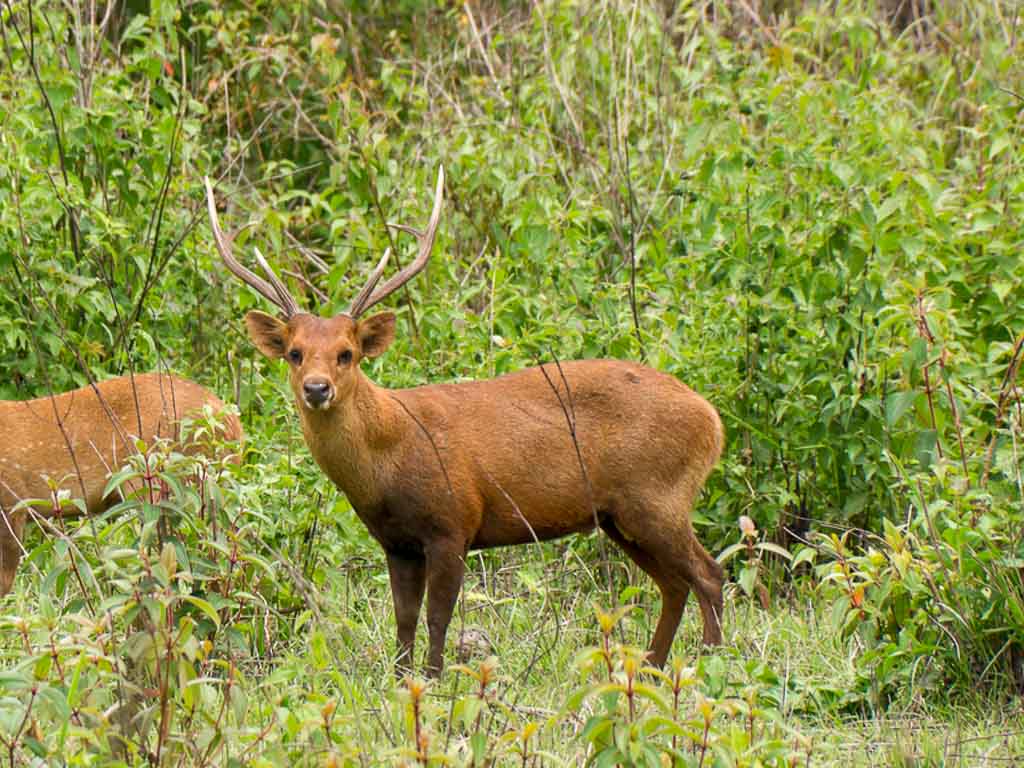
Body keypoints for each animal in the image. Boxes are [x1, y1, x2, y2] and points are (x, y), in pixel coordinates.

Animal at [205, 167, 725, 676]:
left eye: (346, 353)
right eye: (295, 353)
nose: (317, 388)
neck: (389, 460)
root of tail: (713, 420)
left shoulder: (453, 522)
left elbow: (438, 618)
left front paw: (435, 681)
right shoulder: (396, 543)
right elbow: (404, 620)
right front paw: (401, 680)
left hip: (659, 495)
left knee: (709, 574)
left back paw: (712, 660)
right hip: (621, 514)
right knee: (675, 584)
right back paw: (654, 666)